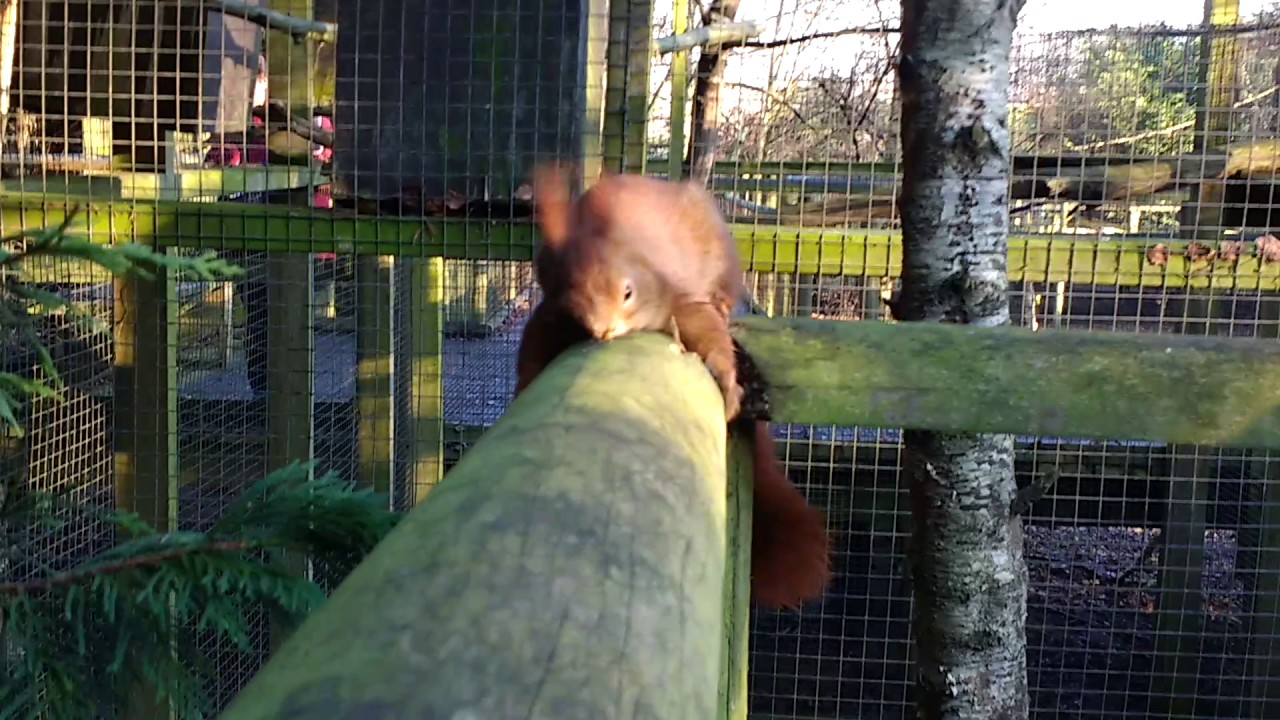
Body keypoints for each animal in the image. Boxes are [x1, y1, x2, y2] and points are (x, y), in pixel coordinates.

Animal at [513, 163, 831, 610]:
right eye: (576, 296)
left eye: (628, 292)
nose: (603, 330)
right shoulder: (552, 308)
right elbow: (534, 350)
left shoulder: (679, 297)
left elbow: (709, 336)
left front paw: (726, 383)